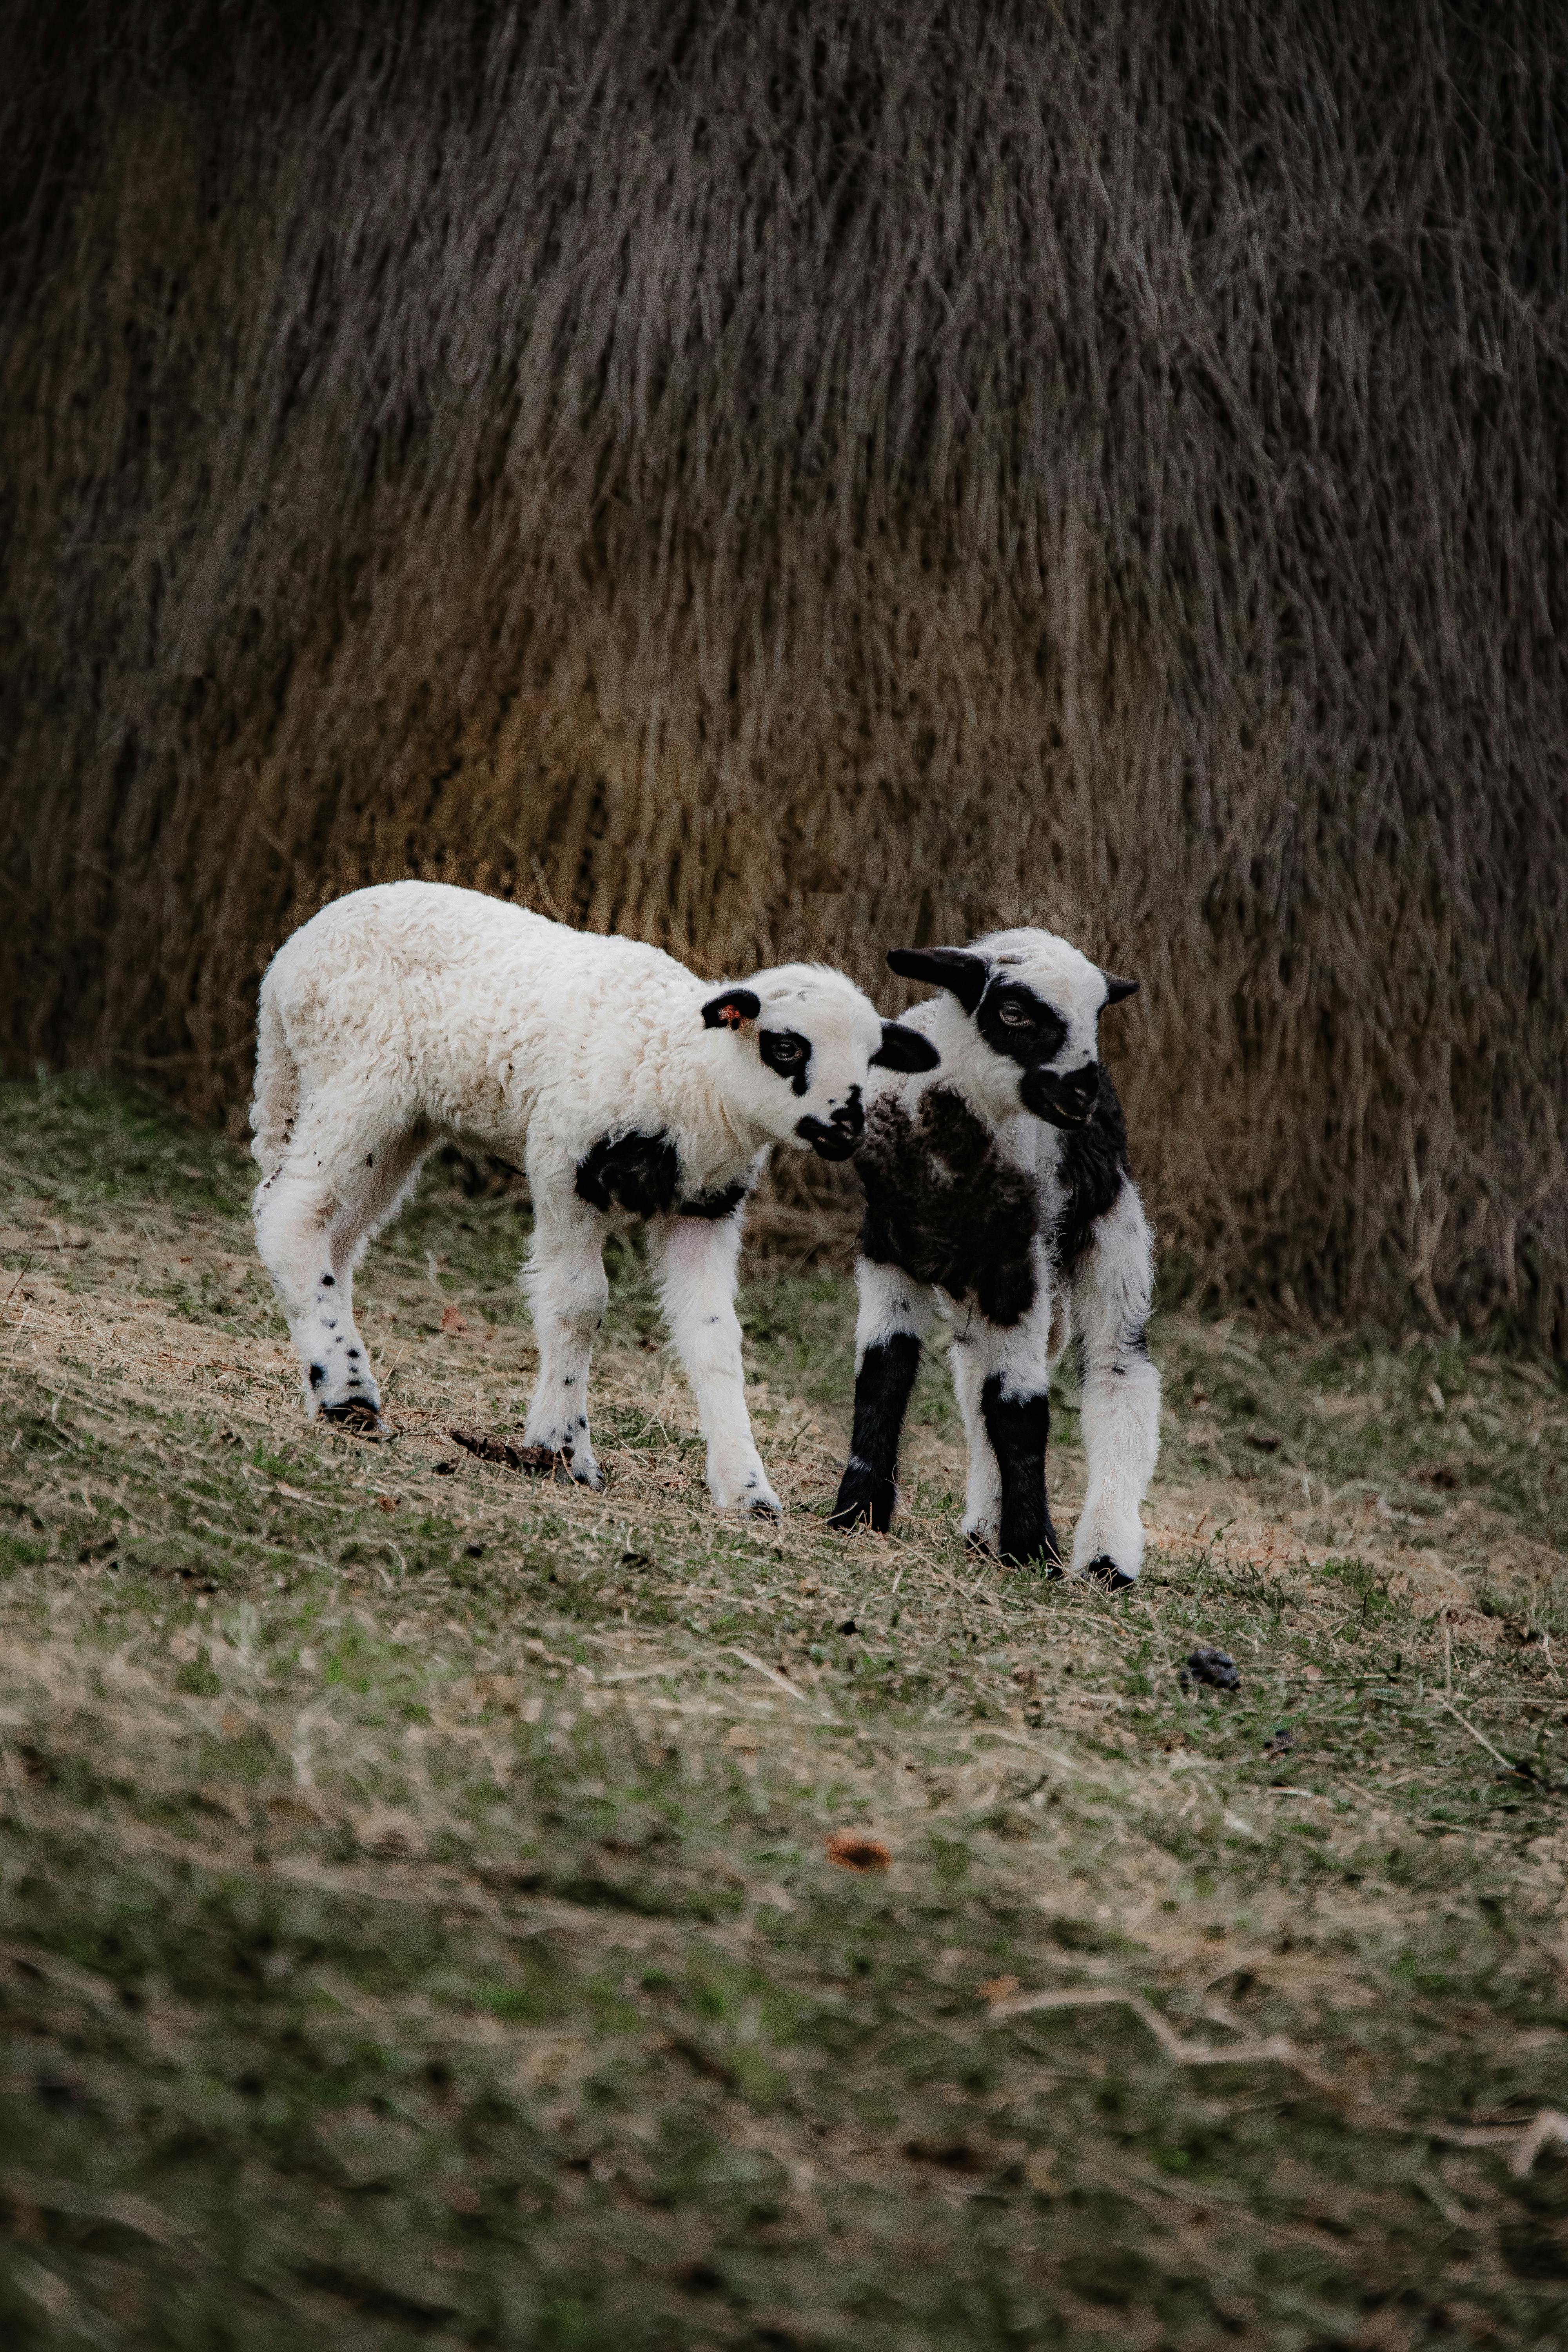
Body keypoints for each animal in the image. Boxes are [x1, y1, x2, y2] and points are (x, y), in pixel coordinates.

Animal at [249, 881, 937, 1516]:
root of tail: (288, 961)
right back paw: (349, 1394)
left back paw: (329, 1387)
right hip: (360, 1076)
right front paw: (562, 1451)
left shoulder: (706, 1206)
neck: (688, 1074)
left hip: (403, 1120)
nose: (847, 1128)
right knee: (289, 1212)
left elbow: (715, 1338)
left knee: (334, 1237)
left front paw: (748, 1491)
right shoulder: (565, 1168)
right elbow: (578, 1306)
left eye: (873, 1058)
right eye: (787, 1047)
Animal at [827, 928, 1159, 1587]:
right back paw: (984, 1528)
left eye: (1097, 1016)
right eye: (1012, 1013)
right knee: (976, 1376)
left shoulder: (1019, 1264)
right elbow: (883, 1373)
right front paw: (856, 1513)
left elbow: (1020, 1410)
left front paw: (1034, 1549)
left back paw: (1107, 1557)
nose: (1081, 1089)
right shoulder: (887, 1250)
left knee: (1119, 1370)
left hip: (1109, 1227)